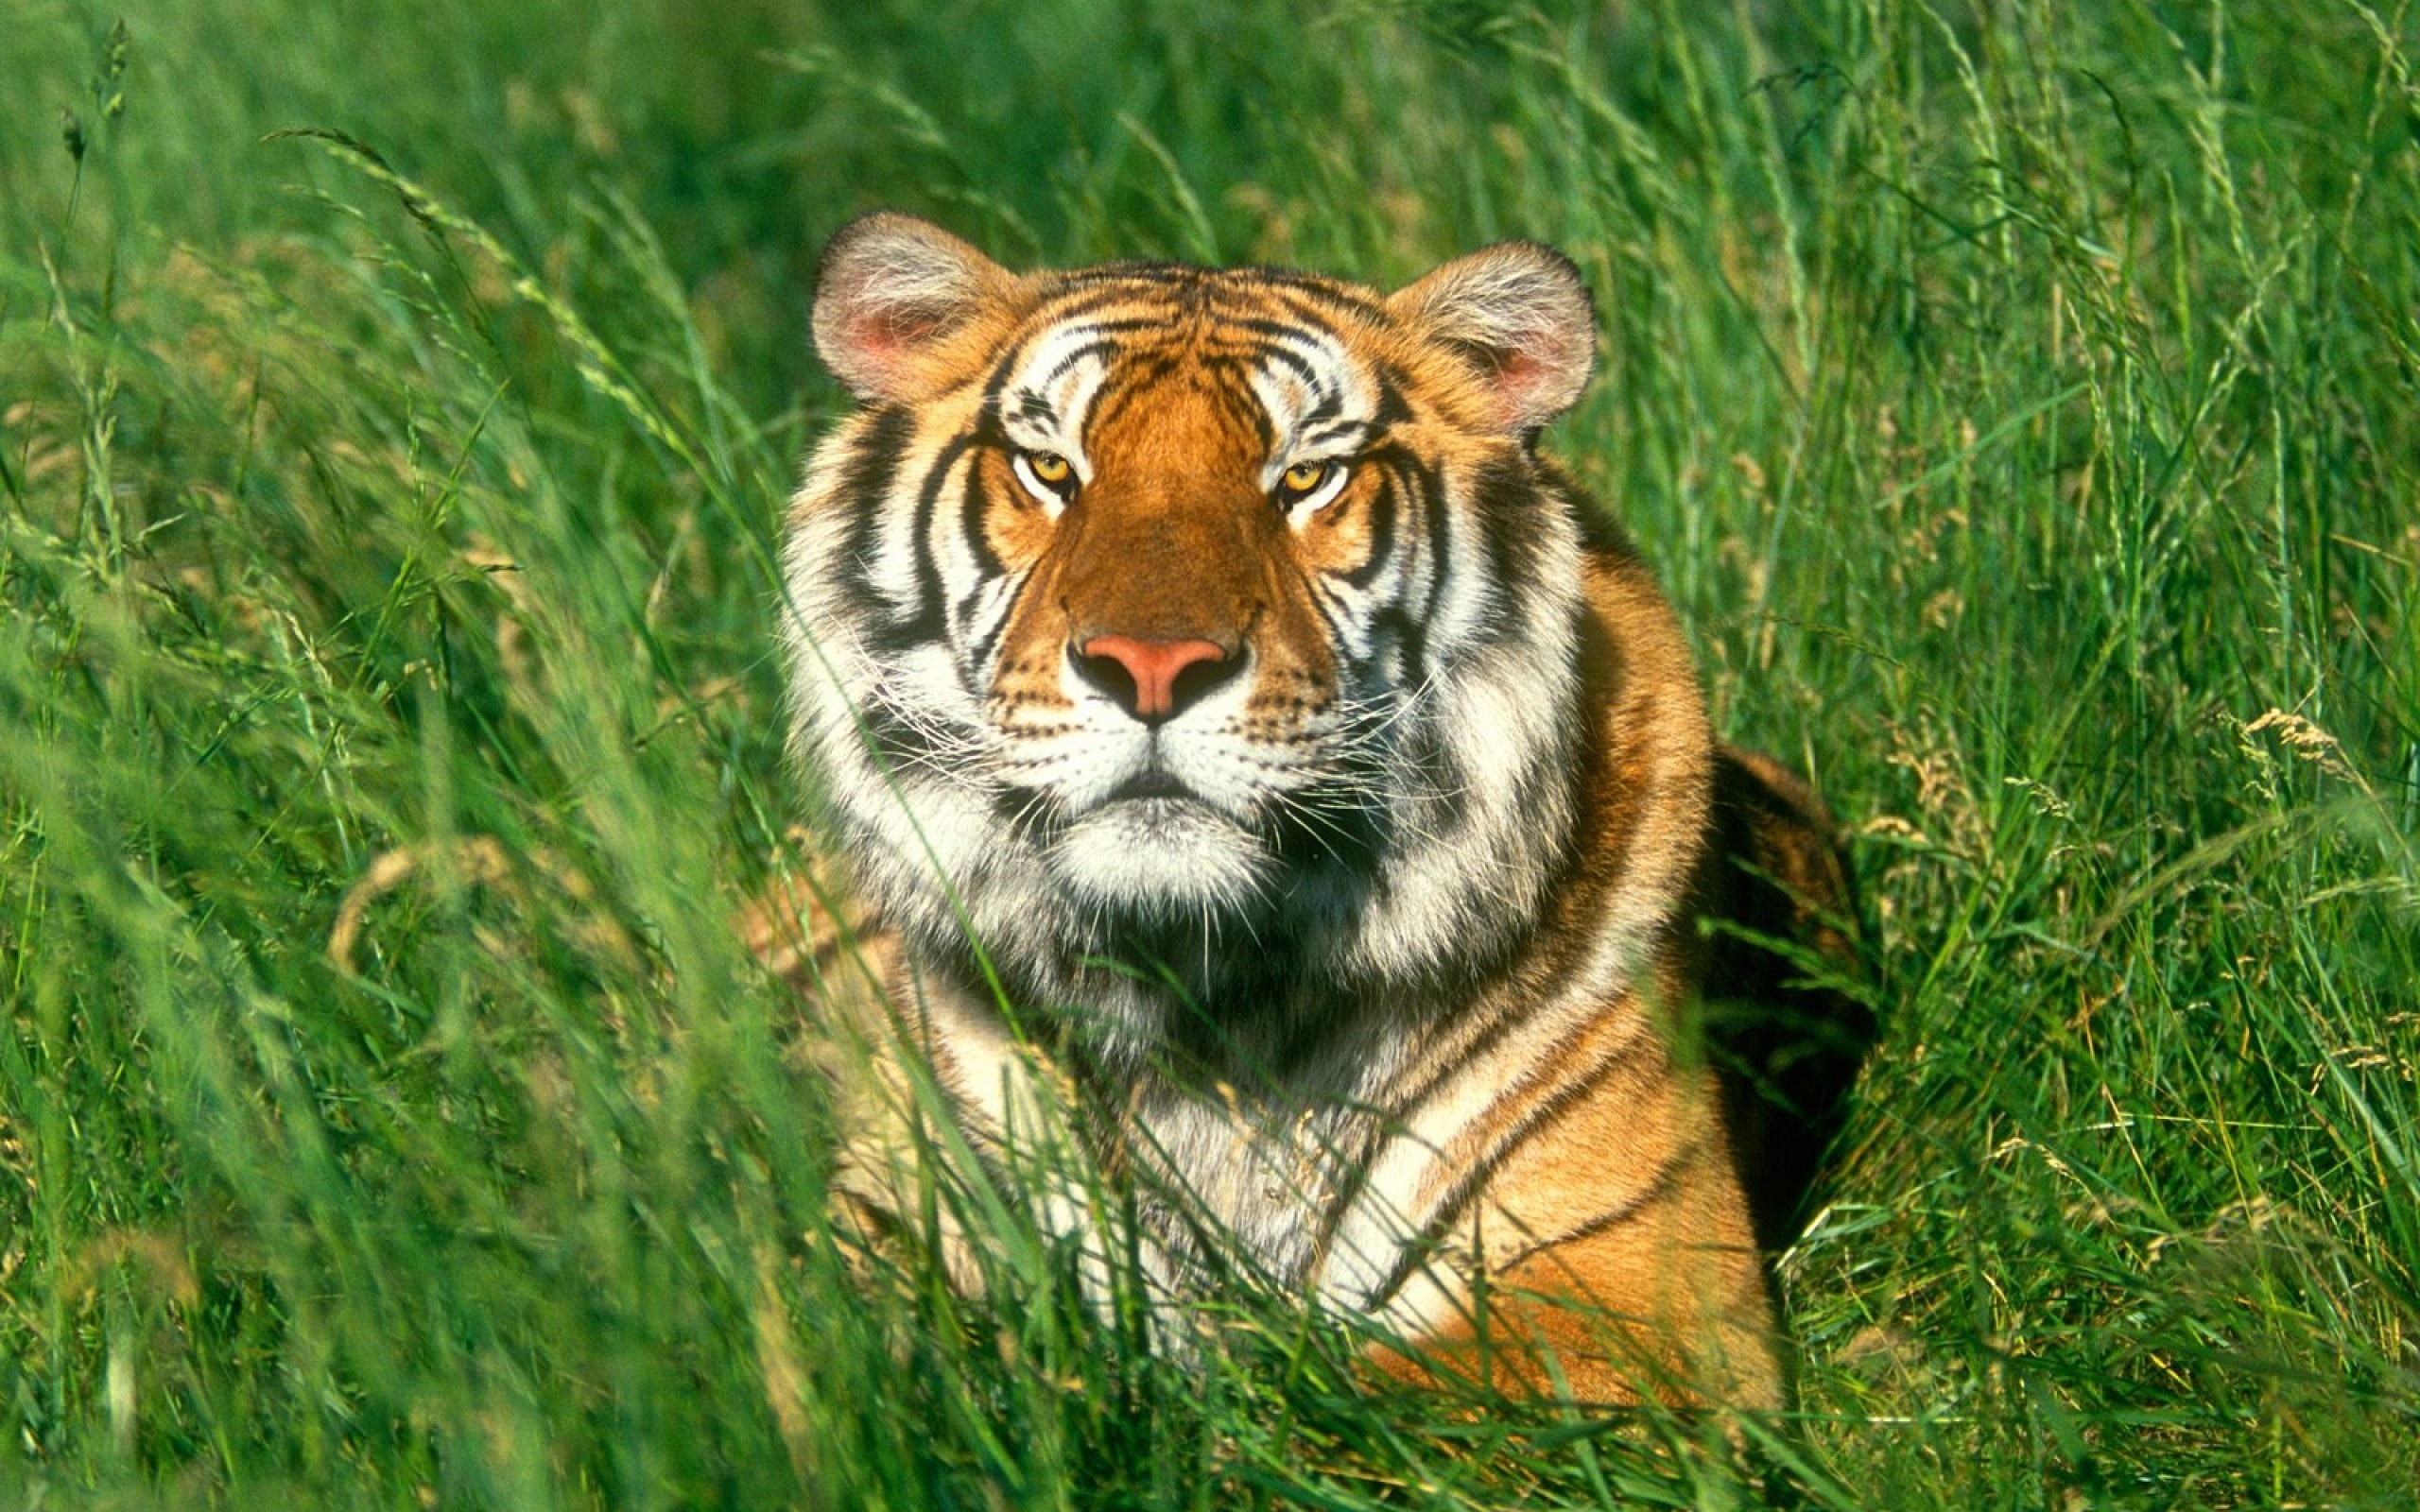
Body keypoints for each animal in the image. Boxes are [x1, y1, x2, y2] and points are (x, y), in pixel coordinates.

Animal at [759, 211, 1868, 1410]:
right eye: (1051, 468)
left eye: (1305, 478)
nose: (1152, 667)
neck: (1201, 994)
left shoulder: (1631, 1300)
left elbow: (1324, 1413)